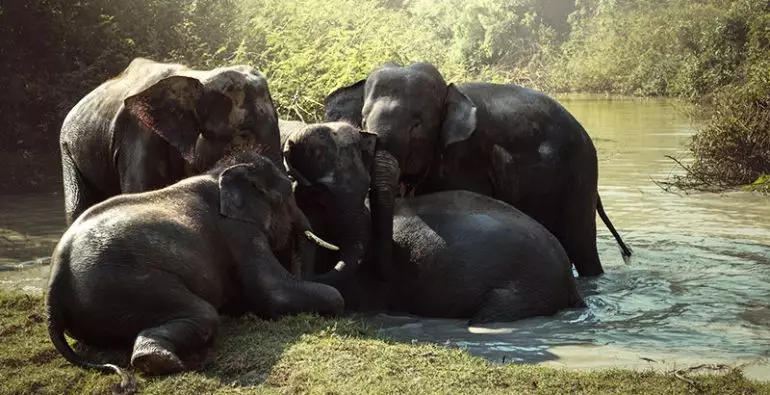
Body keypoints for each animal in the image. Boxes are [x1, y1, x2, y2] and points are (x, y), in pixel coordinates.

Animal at [44, 152, 340, 378]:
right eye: (286, 197)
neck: (219, 174)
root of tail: (54, 284)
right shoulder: (236, 230)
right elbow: (273, 292)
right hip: (123, 285)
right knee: (204, 313)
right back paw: (161, 363)